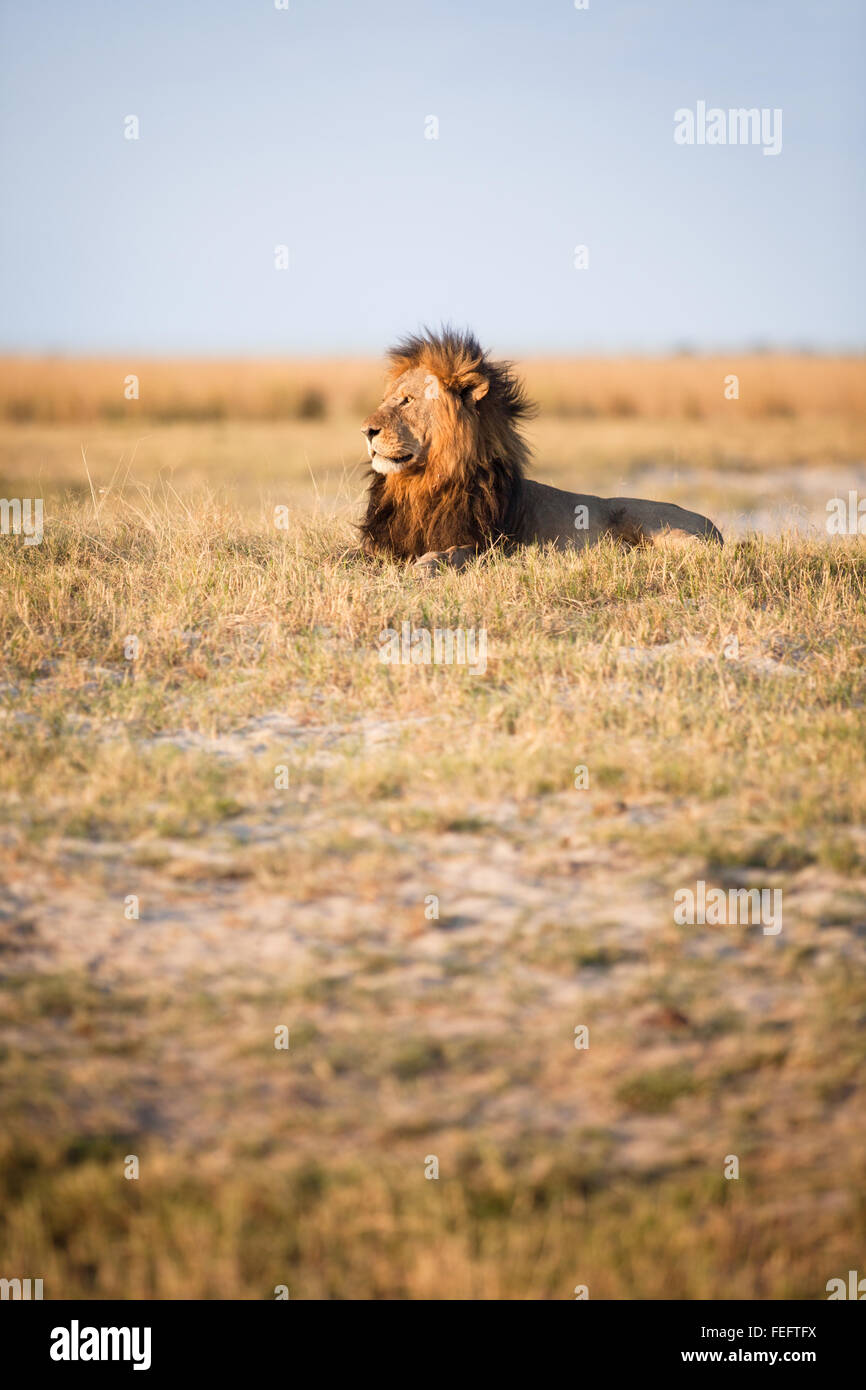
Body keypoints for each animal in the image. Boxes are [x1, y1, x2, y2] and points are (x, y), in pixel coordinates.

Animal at [359, 328, 722, 573]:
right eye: (386, 400)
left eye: (407, 400)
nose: (366, 430)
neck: (422, 483)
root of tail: (714, 526)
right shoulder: (383, 543)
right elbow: (350, 553)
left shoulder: (493, 546)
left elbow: (455, 552)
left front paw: (427, 564)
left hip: (653, 521)